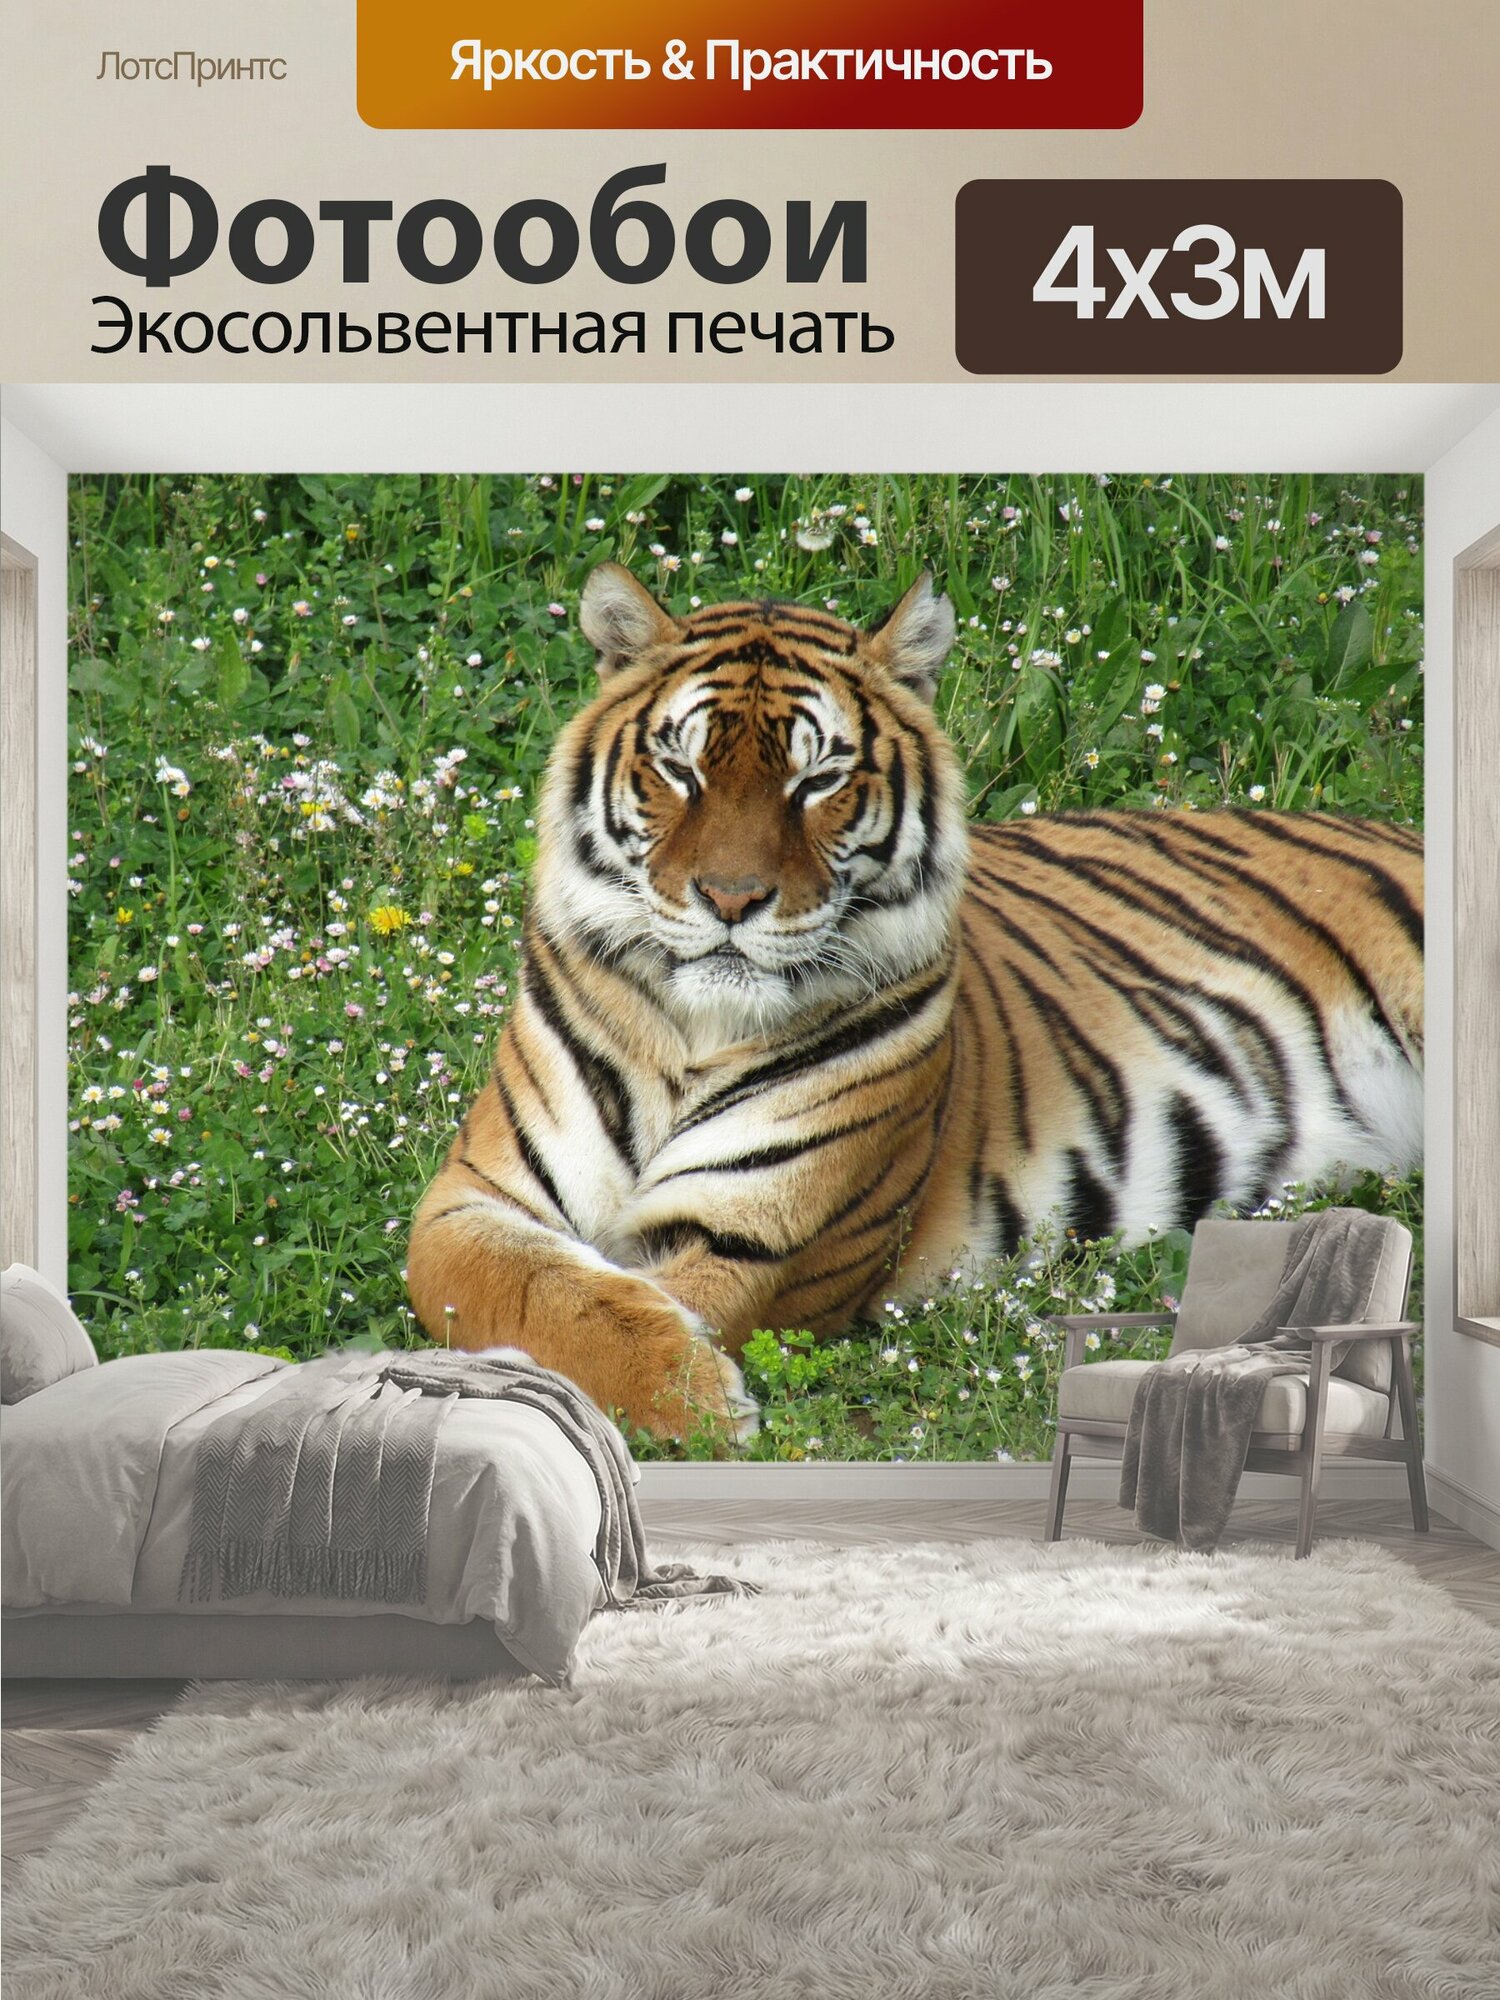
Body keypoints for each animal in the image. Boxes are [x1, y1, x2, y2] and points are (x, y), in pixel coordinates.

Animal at [407, 563, 1424, 1440]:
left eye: (817, 780)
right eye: (680, 772)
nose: (732, 899)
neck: (694, 1031)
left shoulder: (754, 1234)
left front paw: (695, 1401)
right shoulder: (469, 1200)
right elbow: (543, 1297)